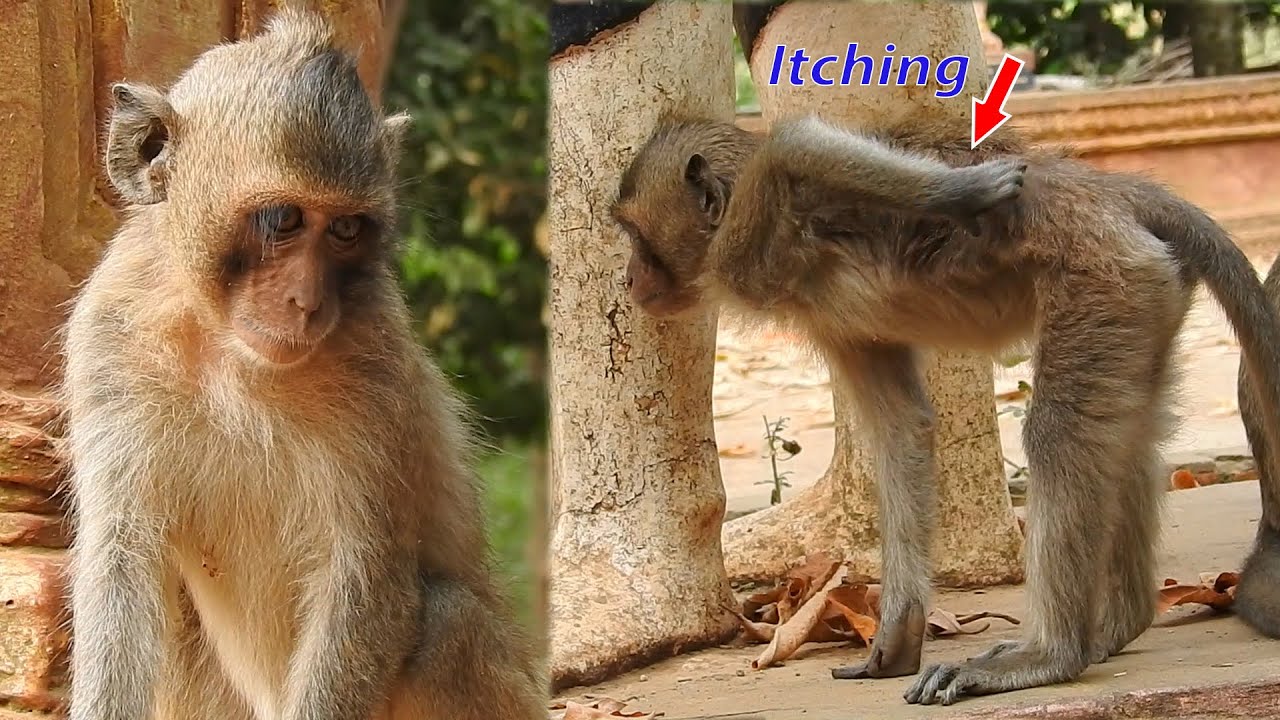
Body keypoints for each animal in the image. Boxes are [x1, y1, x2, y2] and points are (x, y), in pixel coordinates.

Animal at [61, 10, 545, 720]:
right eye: (281, 219)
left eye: (344, 230)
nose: (307, 301)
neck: (231, 356)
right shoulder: (109, 340)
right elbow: (123, 560)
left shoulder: (377, 361)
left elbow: (366, 576)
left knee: (447, 619)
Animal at [611, 113, 1280, 706]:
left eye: (636, 237)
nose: (629, 278)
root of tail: (1110, 194)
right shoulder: (834, 324)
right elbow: (904, 430)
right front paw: (896, 638)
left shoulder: (743, 244)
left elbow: (794, 147)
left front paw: (964, 190)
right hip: (1145, 294)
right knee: (1127, 431)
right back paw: (1118, 627)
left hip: (1106, 275)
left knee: (1060, 434)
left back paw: (1053, 655)